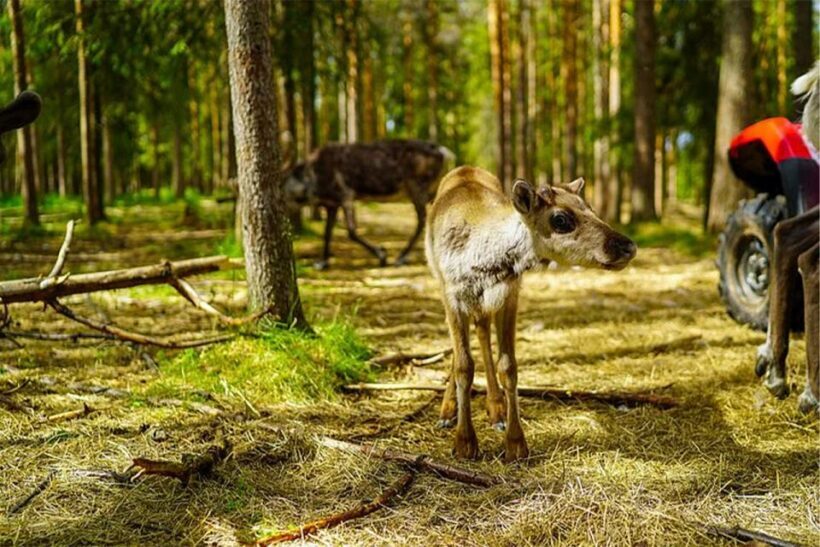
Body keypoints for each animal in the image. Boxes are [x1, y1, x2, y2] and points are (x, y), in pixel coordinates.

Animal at [284, 139, 453, 270]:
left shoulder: (345, 193)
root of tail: (444, 152)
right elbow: (327, 232)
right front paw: (322, 262)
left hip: (416, 186)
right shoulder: (331, 203)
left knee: (422, 220)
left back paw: (400, 257)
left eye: (281, 184)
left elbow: (351, 231)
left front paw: (382, 254)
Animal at [425, 166, 636, 461]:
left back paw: (496, 410)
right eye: (560, 219)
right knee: (462, 348)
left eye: (590, 208)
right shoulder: (453, 296)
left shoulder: (510, 295)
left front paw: (515, 443)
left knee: (482, 331)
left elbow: (508, 366)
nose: (628, 246)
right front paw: (464, 442)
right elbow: (464, 365)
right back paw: (448, 411)